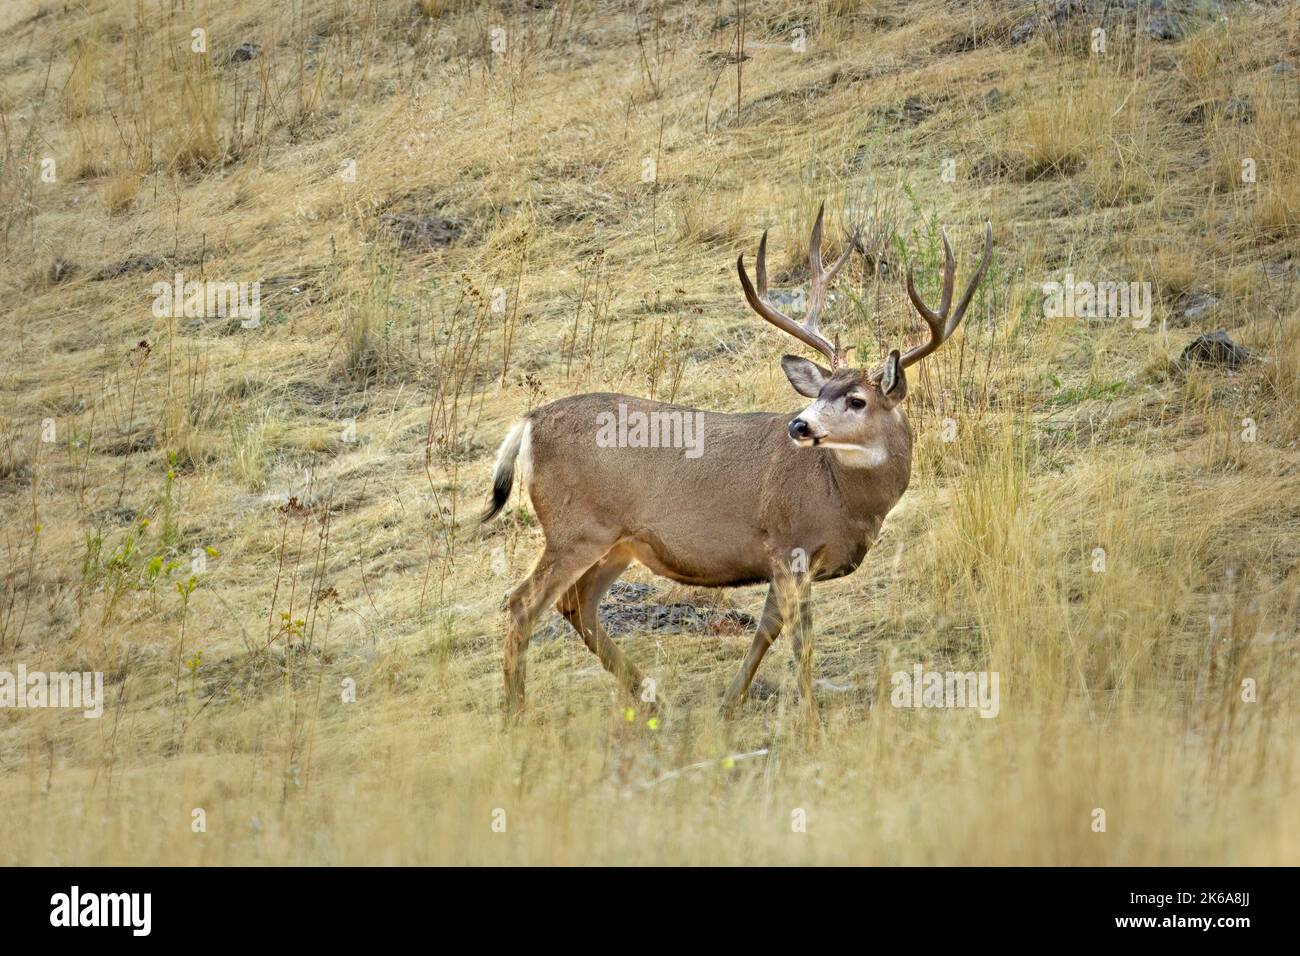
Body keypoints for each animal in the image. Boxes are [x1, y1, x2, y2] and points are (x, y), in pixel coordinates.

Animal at [483, 204, 992, 719]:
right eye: (821, 393)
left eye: (855, 400)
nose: (799, 425)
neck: (842, 496)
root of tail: (529, 422)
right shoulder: (790, 545)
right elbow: (801, 641)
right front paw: (810, 719)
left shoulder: (781, 561)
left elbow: (766, 630)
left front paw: (730, 703)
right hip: (577, 527)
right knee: (523, 602)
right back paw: (516, 712)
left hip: (617, 542)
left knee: (576, 604)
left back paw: (651, 698)